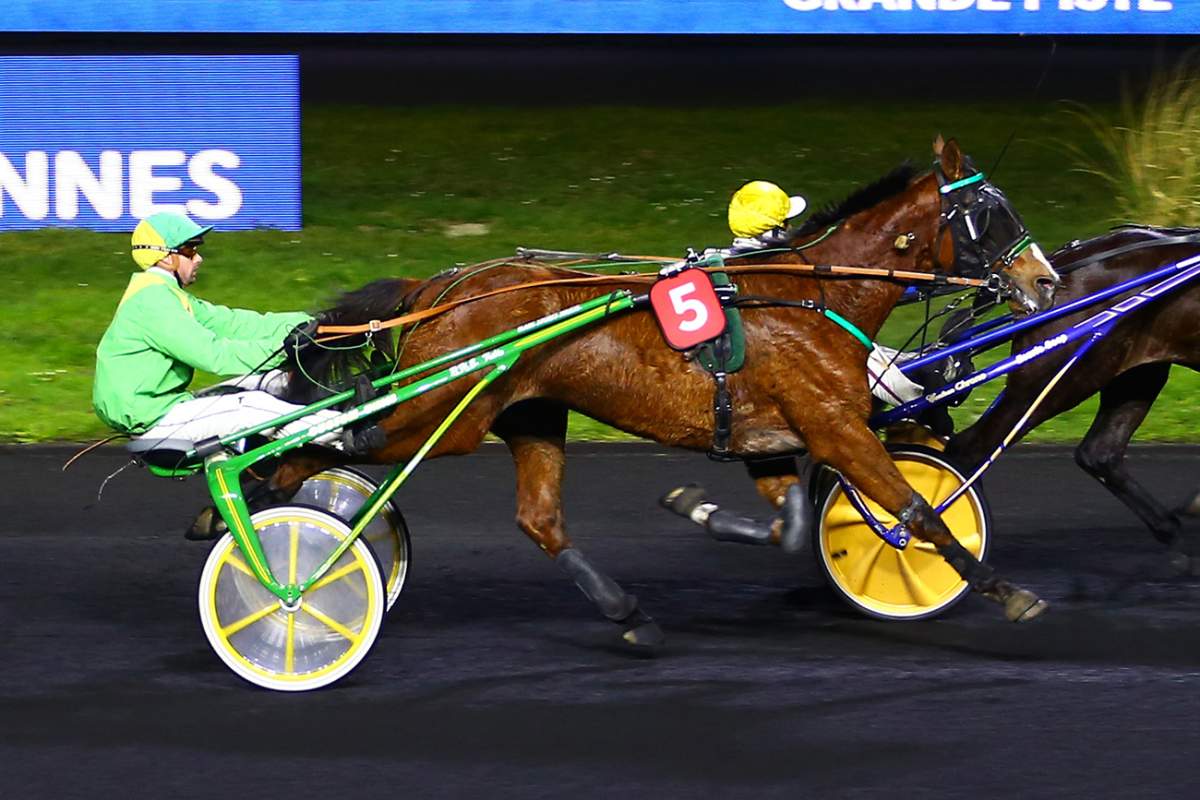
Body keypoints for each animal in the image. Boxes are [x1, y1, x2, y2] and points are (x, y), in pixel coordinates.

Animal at [269, 137, 1060, 647]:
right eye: (990, 212)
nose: (1045, 279)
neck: (813, 296)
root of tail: (438, 287)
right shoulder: (838, 428)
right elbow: (917, 511)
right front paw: (1008, 592)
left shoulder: (769, 443)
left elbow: (790, 526)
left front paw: (693, 505)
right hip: (443, 417)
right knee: (327, 443)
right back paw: (270, 528)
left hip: (530, 413)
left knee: (540, 519)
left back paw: (629, 614)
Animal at [948, 225, 1200, 574]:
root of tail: (1054, 271)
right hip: (1057, 379)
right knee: (969, 449)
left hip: (1135, 373)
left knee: (1099, 453)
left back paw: (1172, 534)